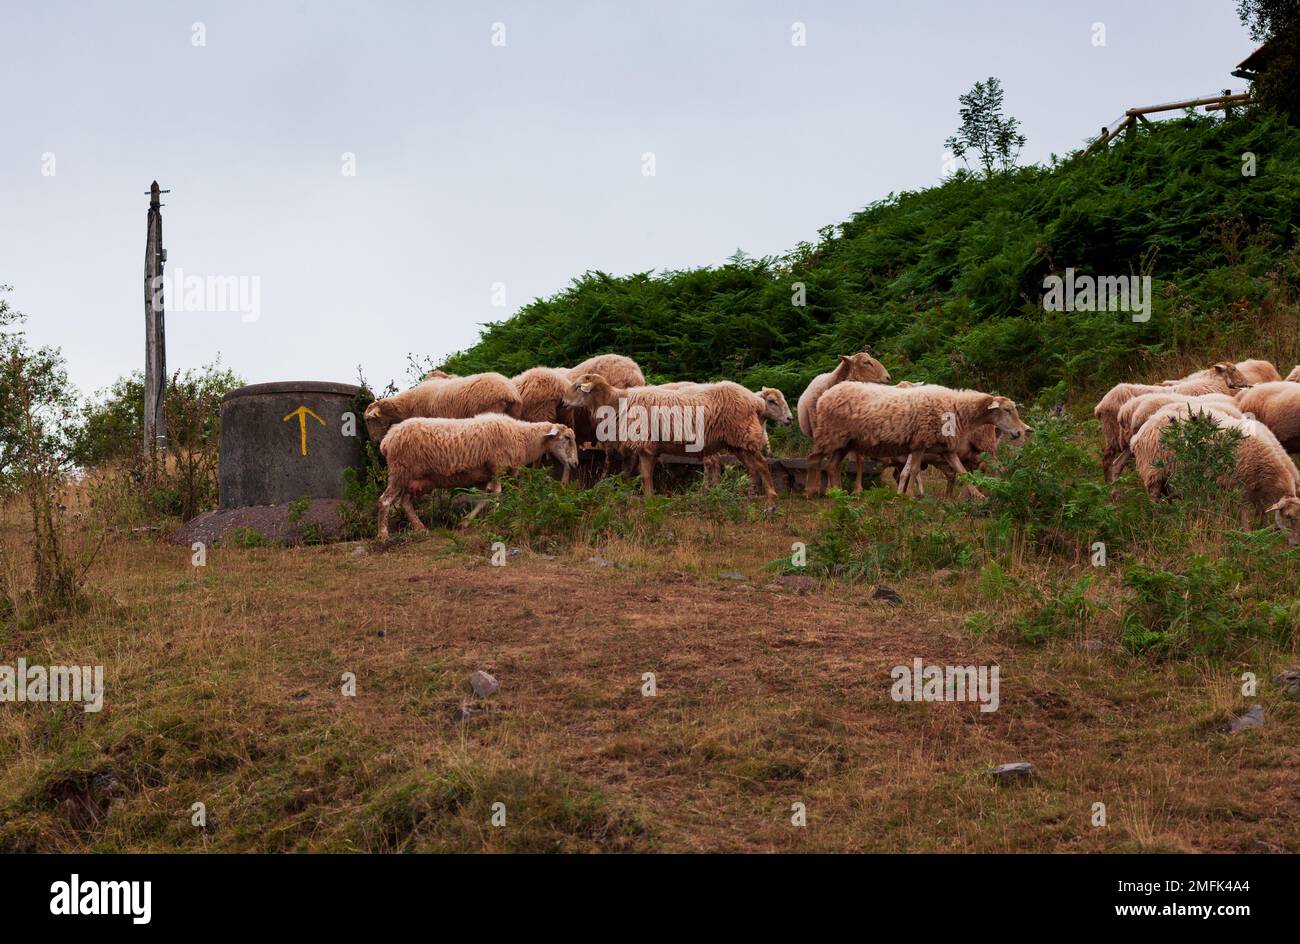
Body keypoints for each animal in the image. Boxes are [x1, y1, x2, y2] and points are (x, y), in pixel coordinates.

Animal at [375, 415, 578, 539]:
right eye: (567, 438)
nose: (575, 464)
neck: (521, 437)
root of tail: (387, 439)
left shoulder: (485, 476)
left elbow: (484, 497)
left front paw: (465, 522)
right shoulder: (497, 467)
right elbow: (496, 494)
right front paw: (496, 518)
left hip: (414, 479)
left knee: (405, 502)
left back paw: (420, 528)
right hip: (400, 472)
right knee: (384, 501)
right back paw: (383, 535)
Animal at [564, 373, 779, 509]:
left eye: (578, 387)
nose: (564, 402)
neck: (616, 403)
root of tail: (755, 401)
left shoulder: (645, 445)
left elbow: (645, 476)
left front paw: (649, 502)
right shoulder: (647, 448)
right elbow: (634, 473)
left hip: (744, 435)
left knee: (761, 465)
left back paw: (771, 501)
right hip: (737, 442)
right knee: (752, 467)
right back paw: (750, 497)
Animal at [805, 383, 1030, 500]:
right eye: (1007, 410)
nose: (1020, 432)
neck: (956, 408)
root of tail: (826, 394)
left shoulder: (945, 448)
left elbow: (962, 473)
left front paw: (979, 496)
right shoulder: (919, 443)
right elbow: (913, 471)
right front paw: (910, 496)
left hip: (845, 442)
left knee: (832, 465)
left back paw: (838, 493)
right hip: (829, 435)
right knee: (814, 459)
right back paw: (812, 491)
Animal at [1130, 403, 1298, 526]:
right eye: (1289, 517)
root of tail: (1139, 434)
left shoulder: (1254, 487)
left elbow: (1261, 510)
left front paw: (1264, 528)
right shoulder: (1241, 486)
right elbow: (1245, 513)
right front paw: (1248, 533)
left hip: (1168, 478)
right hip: (1153, 473)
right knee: (1154, 502)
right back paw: (1158, 522)